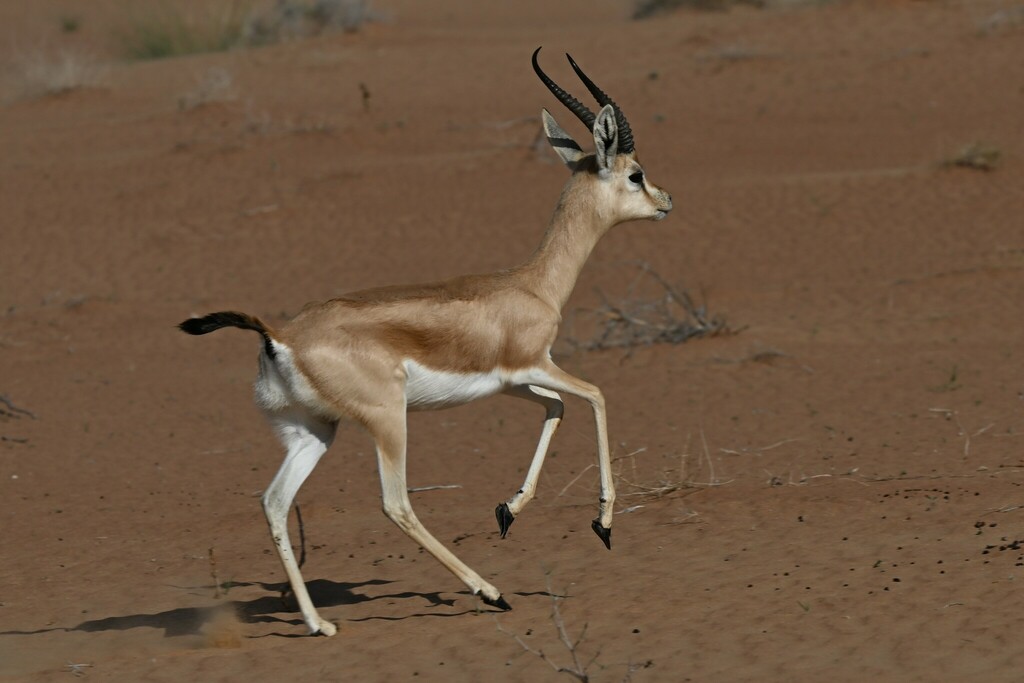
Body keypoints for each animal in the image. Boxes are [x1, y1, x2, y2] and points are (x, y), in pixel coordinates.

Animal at [179, 47, 672, 636]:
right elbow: (596, 396)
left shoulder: (511, 382)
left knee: (274, 501)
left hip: (314, 430)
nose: (666, 200)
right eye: (635, 174)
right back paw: (490, 592)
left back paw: (319, 624)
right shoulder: (535, 364)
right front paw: (602, 525)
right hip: (389, 420)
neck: (533, 285)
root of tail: (281, 334)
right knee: (396, 505)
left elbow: (555, 409)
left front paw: (508, 511)